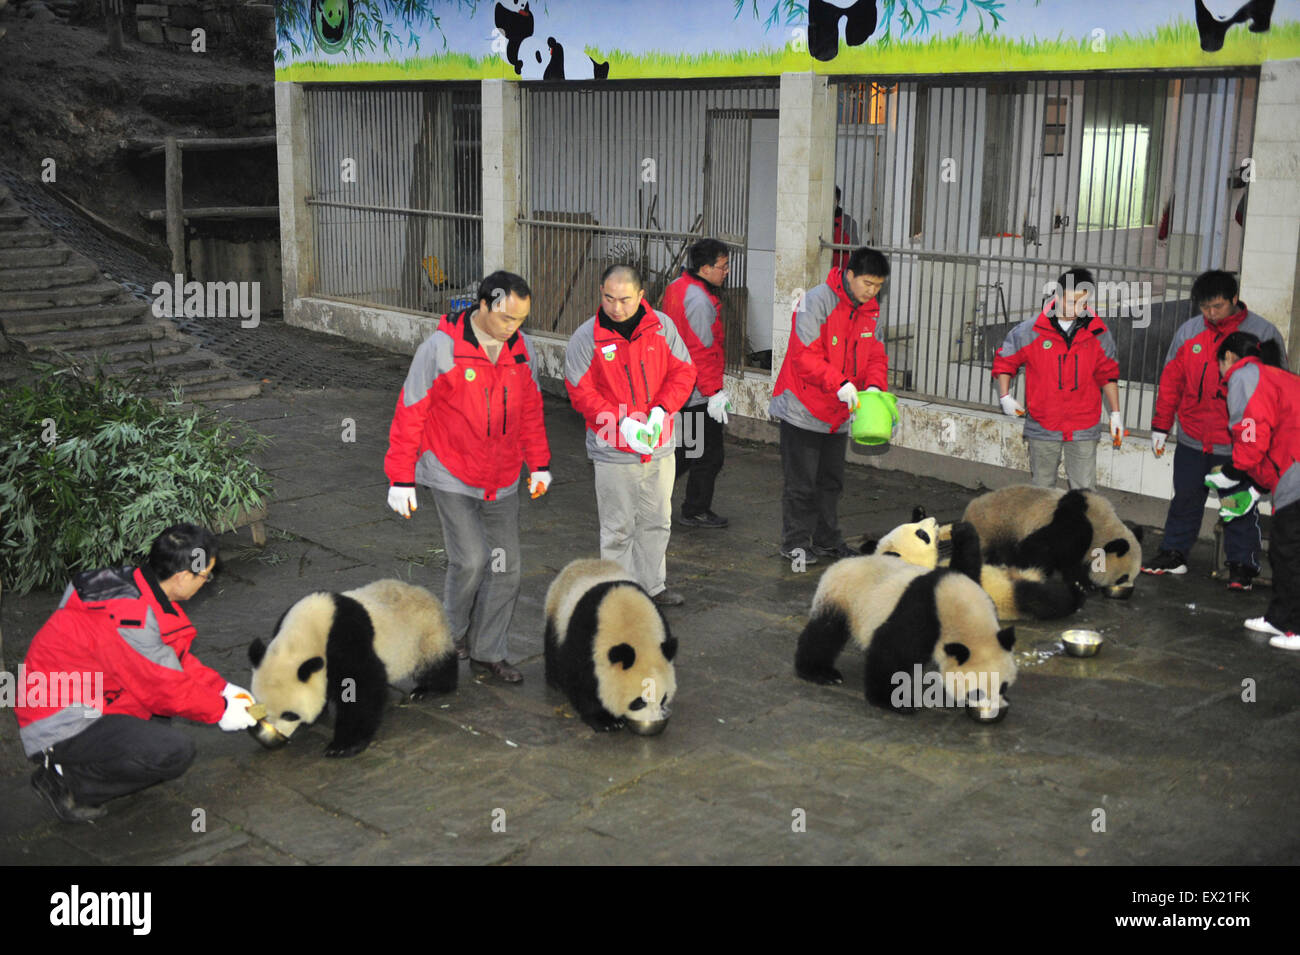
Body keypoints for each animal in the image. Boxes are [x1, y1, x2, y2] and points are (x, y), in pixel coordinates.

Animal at [248, 579, 457, 758]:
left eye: (290, 715)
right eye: (262, 709)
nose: (275, 737)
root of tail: (425, 592)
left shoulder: (347, 642)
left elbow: (361, 690)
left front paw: (342, 746)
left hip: (424, 634)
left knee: (435, 663)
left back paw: (428, 689)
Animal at [543, 559, 677, 733]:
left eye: (663, 698)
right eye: (639, 702)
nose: (652, 719)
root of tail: (578, 562)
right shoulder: (586, 639)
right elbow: (582, 681)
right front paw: (606, 721)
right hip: (557, 612)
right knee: (552, 645)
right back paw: (554, 681)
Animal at [796, 521, 1017, 715]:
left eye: (1004, 687)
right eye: (976, 693)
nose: (994, 708)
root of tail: (843, 563)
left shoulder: (956, 579)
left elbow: (967, 566)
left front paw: (961, 531)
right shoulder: (921, 614)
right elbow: (892, 651)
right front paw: (894, 701)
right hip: (842, 597)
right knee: (825, 633)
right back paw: (819, 672)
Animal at [862, 509, 1084, 621]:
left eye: (917, 527)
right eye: (921, 535)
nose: (933, 520)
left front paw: (920, 513)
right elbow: (967, 572)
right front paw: (962, 530)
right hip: (1010, 596)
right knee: (1042, 598)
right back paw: (1075, 591)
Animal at [961, 486, 1143, 599]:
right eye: (1123, 577)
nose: (1128, 589)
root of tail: (970, 509)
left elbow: (1072, 563)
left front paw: (1082, 583)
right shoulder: (1074, 526)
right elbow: (1039, 548)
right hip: (994, 528)